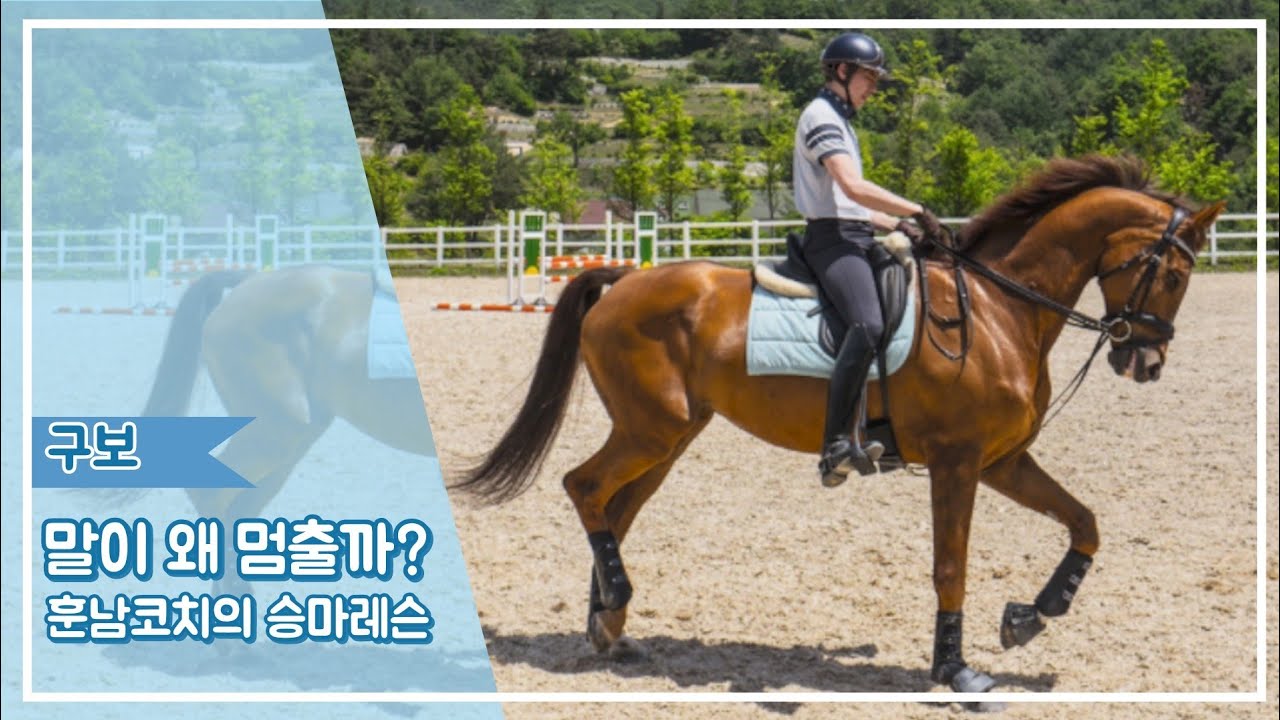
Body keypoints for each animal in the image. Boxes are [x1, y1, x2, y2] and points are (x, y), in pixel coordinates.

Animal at [453, 155, 1226, 694]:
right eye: (1174, 275)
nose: (1145, 361)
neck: (997, 307)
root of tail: (626, 278)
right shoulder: (958, 460)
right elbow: (951, 565)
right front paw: (956, 670)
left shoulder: (1001, 460)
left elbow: (1084, 522)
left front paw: (1032, 616)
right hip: (652, 430)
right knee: (584, 488)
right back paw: (612, 605)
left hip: (670, 438)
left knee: (616, 511)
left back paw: (610, 626)